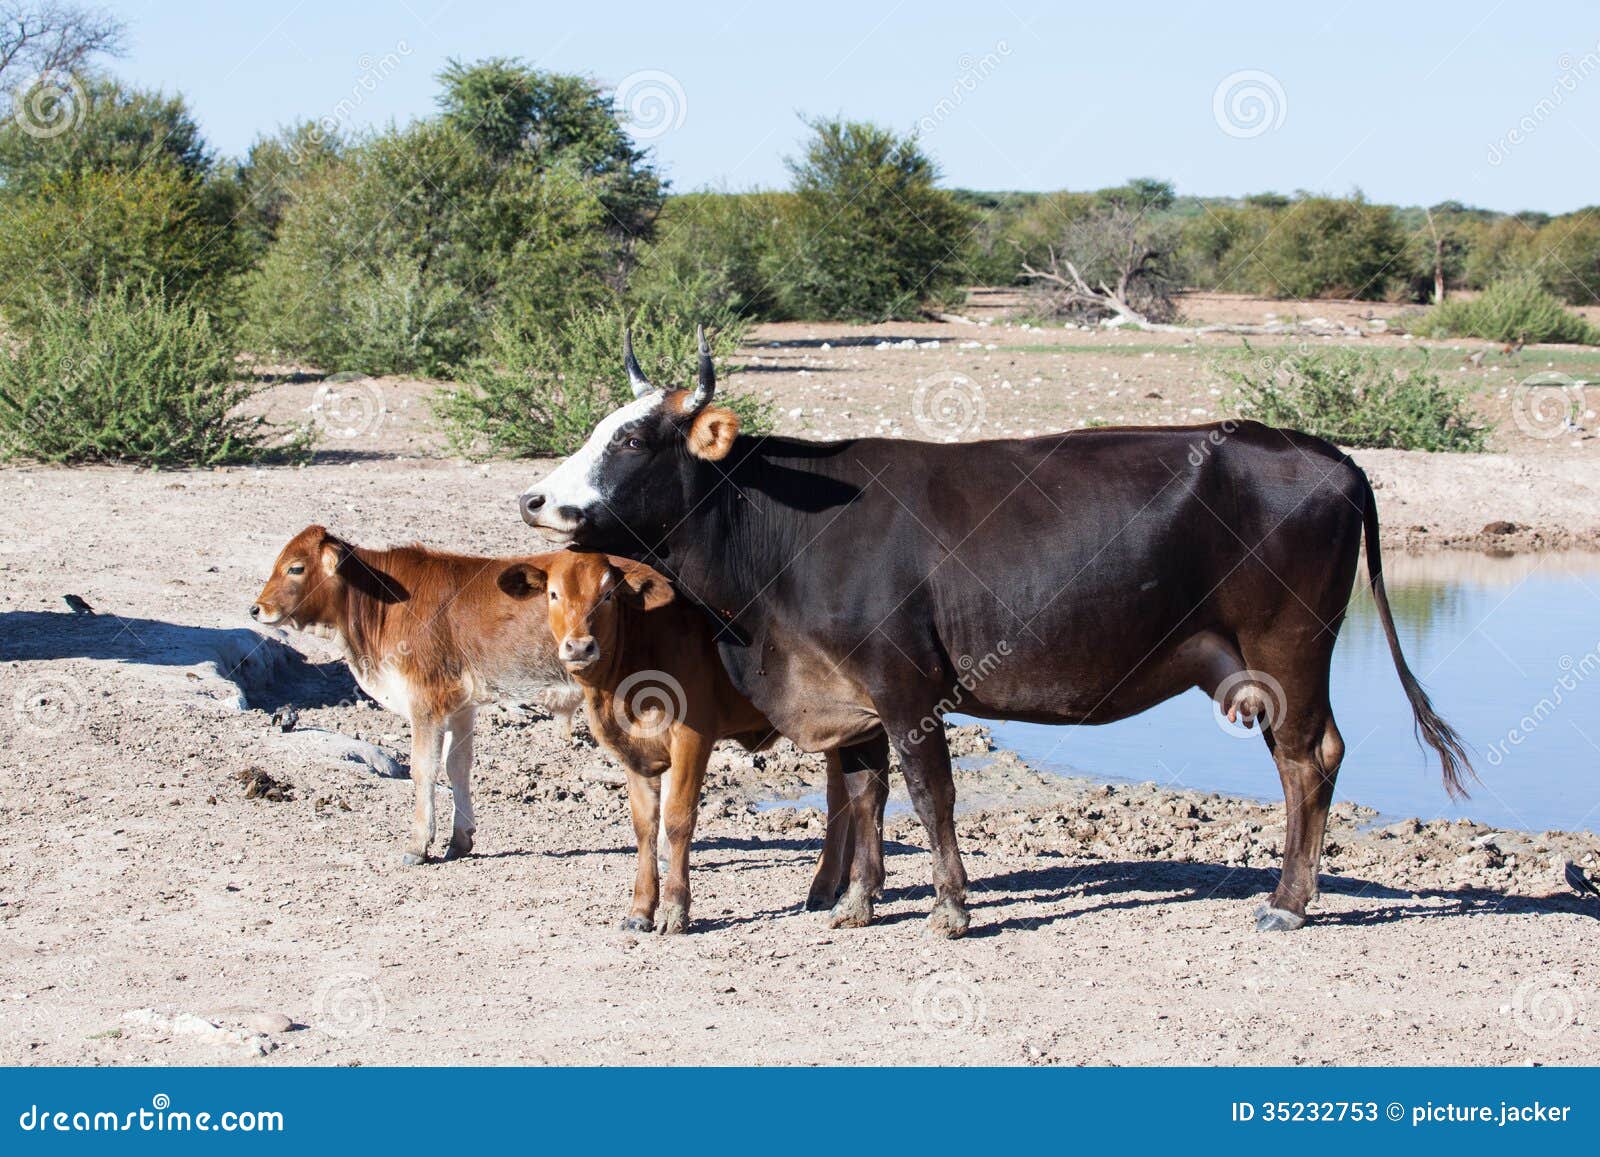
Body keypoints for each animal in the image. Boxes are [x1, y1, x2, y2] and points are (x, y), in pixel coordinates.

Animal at [251, 526, 580, 864]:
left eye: (295, 568)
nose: (256, 608)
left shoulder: (426, 702)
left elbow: (423, 768)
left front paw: (418, 845)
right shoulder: (462, 706)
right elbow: (457, 766)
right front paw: (459, 839)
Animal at [497, 549, 779, 933]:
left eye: (607, 595)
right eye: (553, 594)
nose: (579, 646)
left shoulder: (693, 735)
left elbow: (677, 818)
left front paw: (675, 909)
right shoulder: (633, 754)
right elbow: (645, 825)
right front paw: (641, 909)